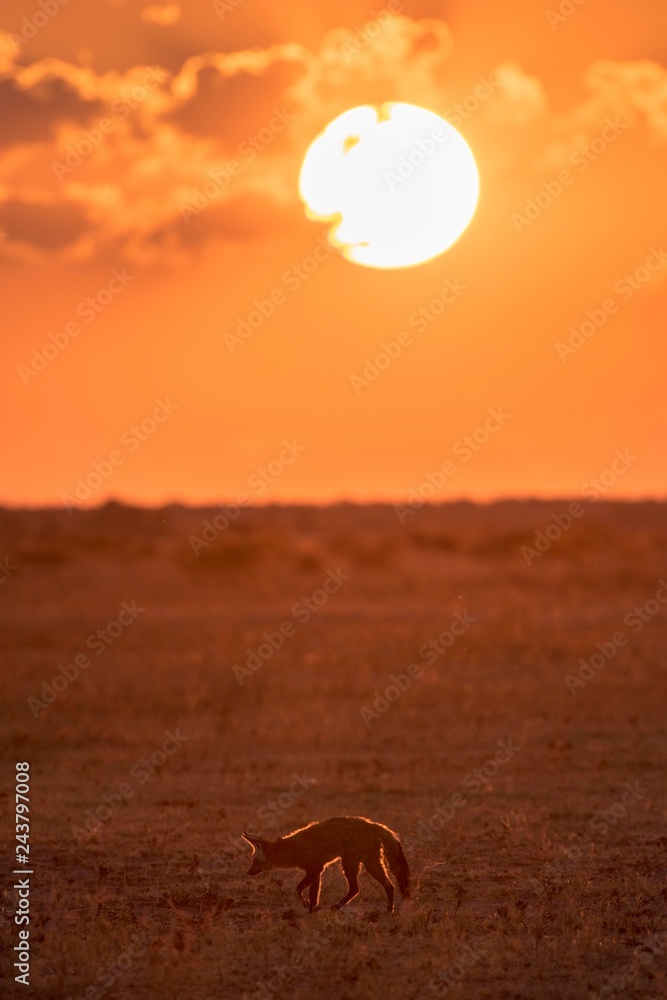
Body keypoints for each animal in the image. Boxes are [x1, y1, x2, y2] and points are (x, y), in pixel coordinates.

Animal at [242, 815, 410, 913]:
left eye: (255, 861)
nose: (248, 872)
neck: (292, 848)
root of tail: (373, 824)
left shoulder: (315, 869)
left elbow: (298, 890)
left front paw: (306, 904)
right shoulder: (316, 872)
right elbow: (314, 895)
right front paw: (311, 910)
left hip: (353, 864)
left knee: (367, 888)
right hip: (364, 863)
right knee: (377, 887)